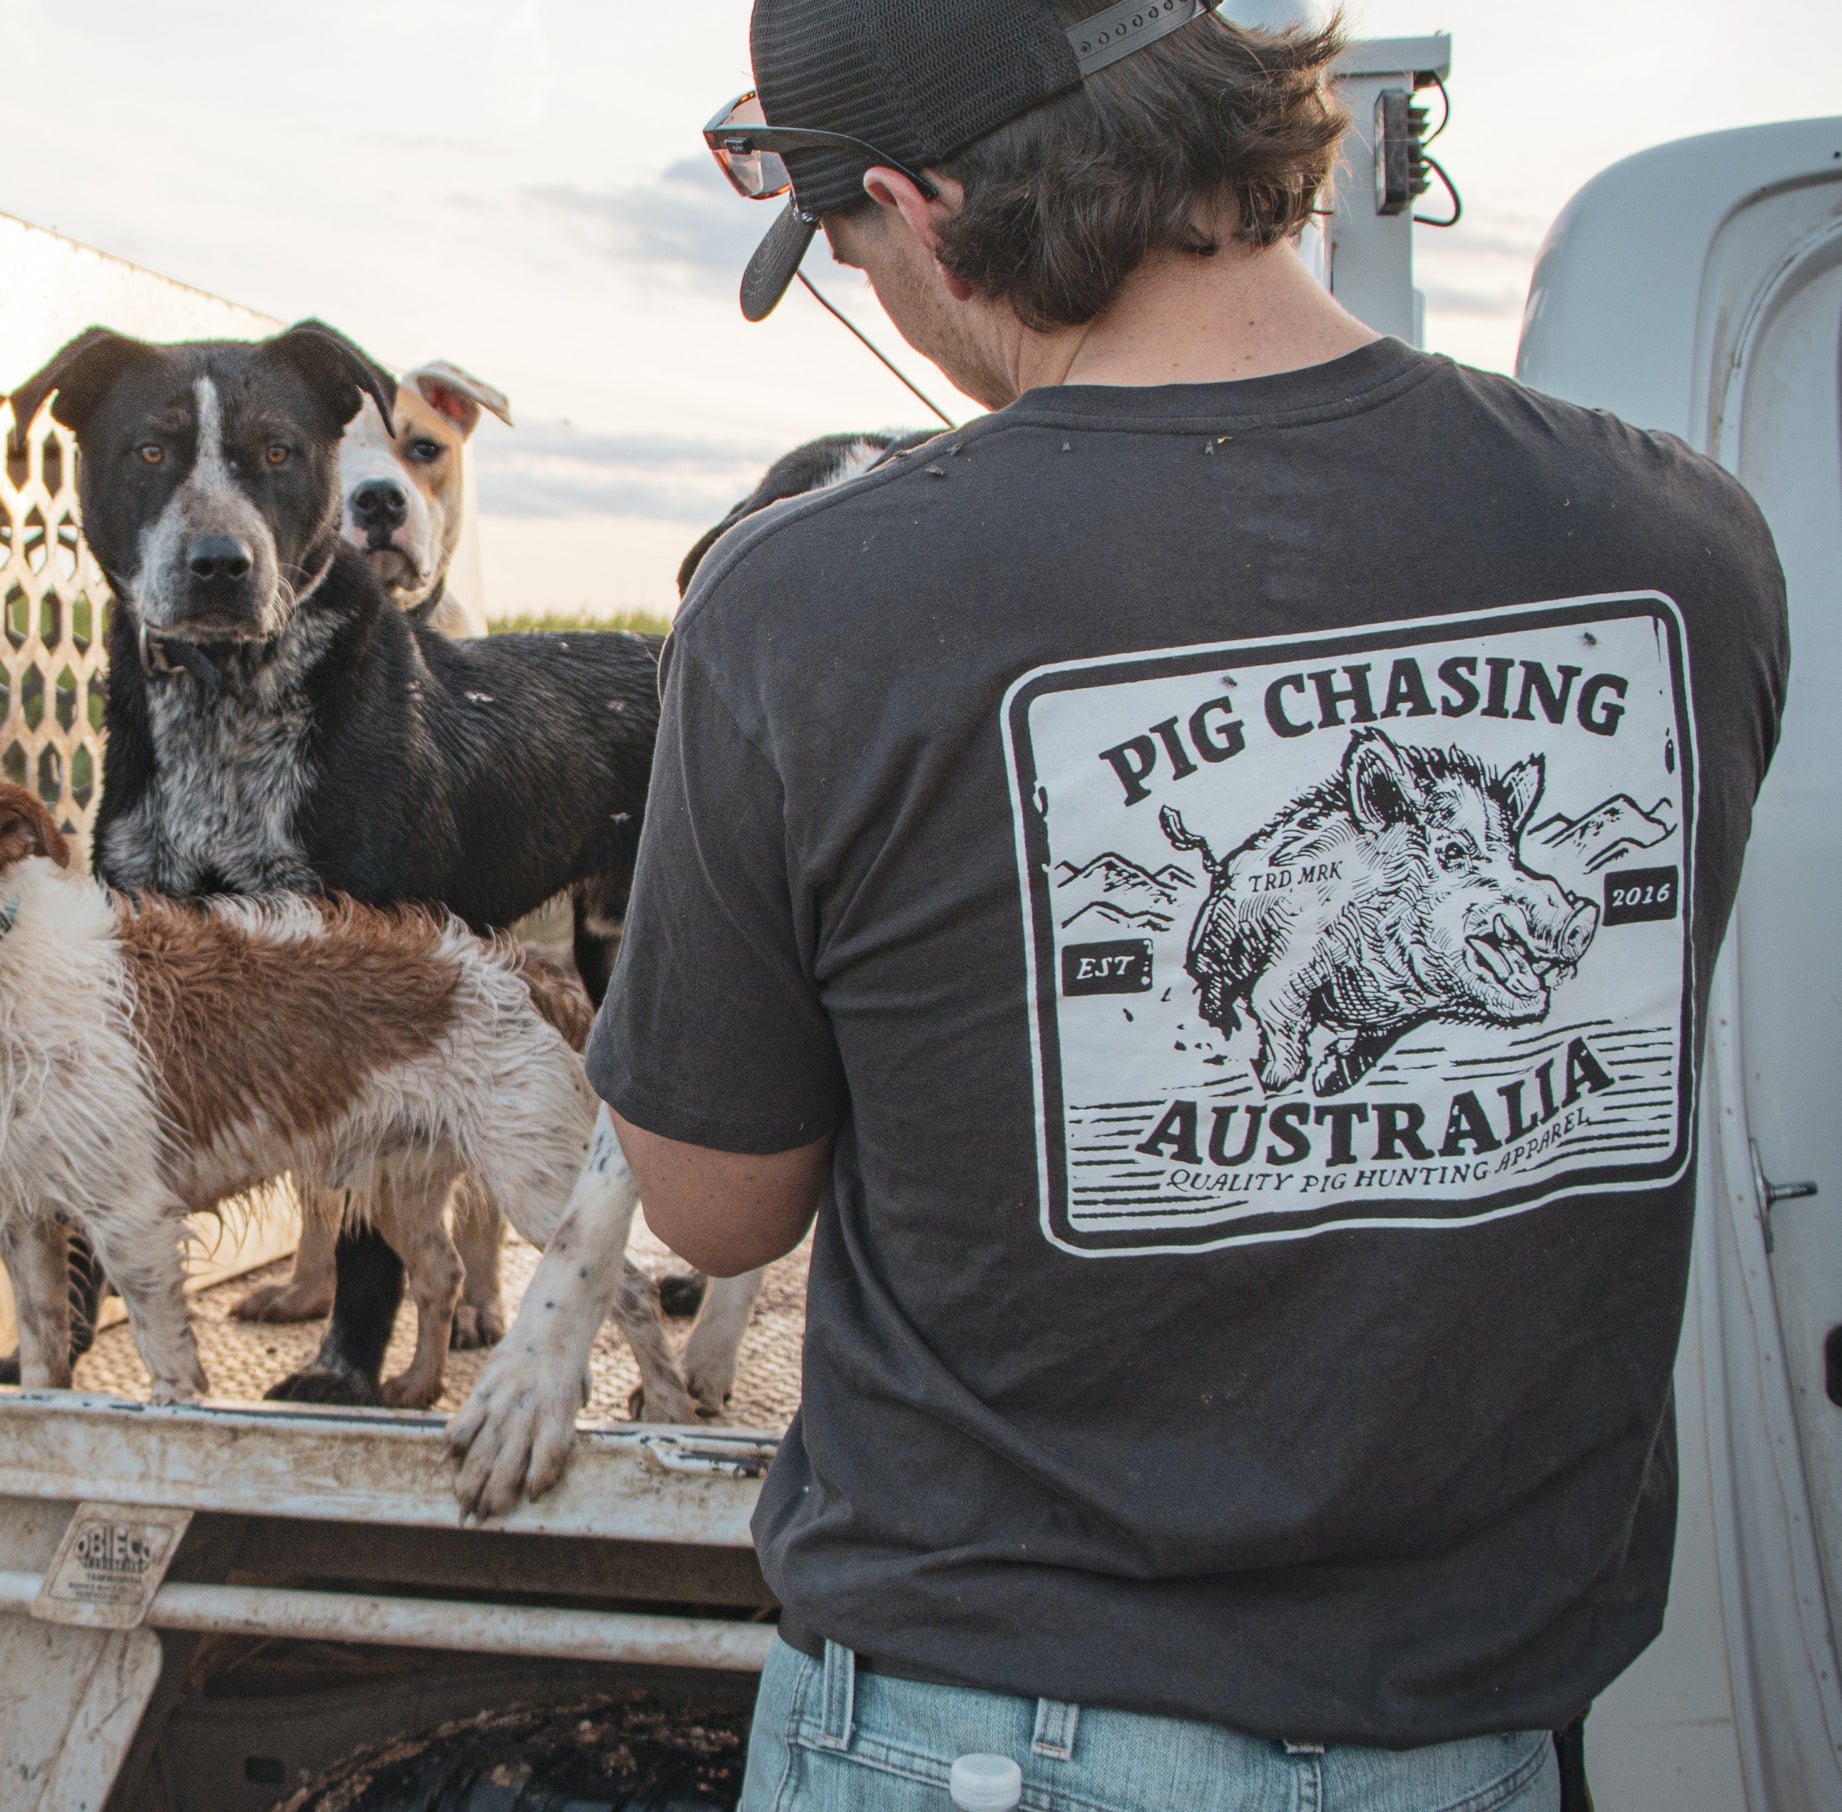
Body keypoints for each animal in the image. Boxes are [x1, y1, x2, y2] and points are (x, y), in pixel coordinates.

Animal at [1160, 726, 1598, 1097]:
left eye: (1512, 855)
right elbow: (1278, 1016)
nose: (1583, 916)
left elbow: (1369, 1039)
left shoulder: (1390, 1017)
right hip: (1217, 946)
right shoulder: (1289, 967)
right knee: (1215, 988)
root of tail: (1225, 867)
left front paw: (1330, 1081)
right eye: (1452, 852)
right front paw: (1275, 1081)